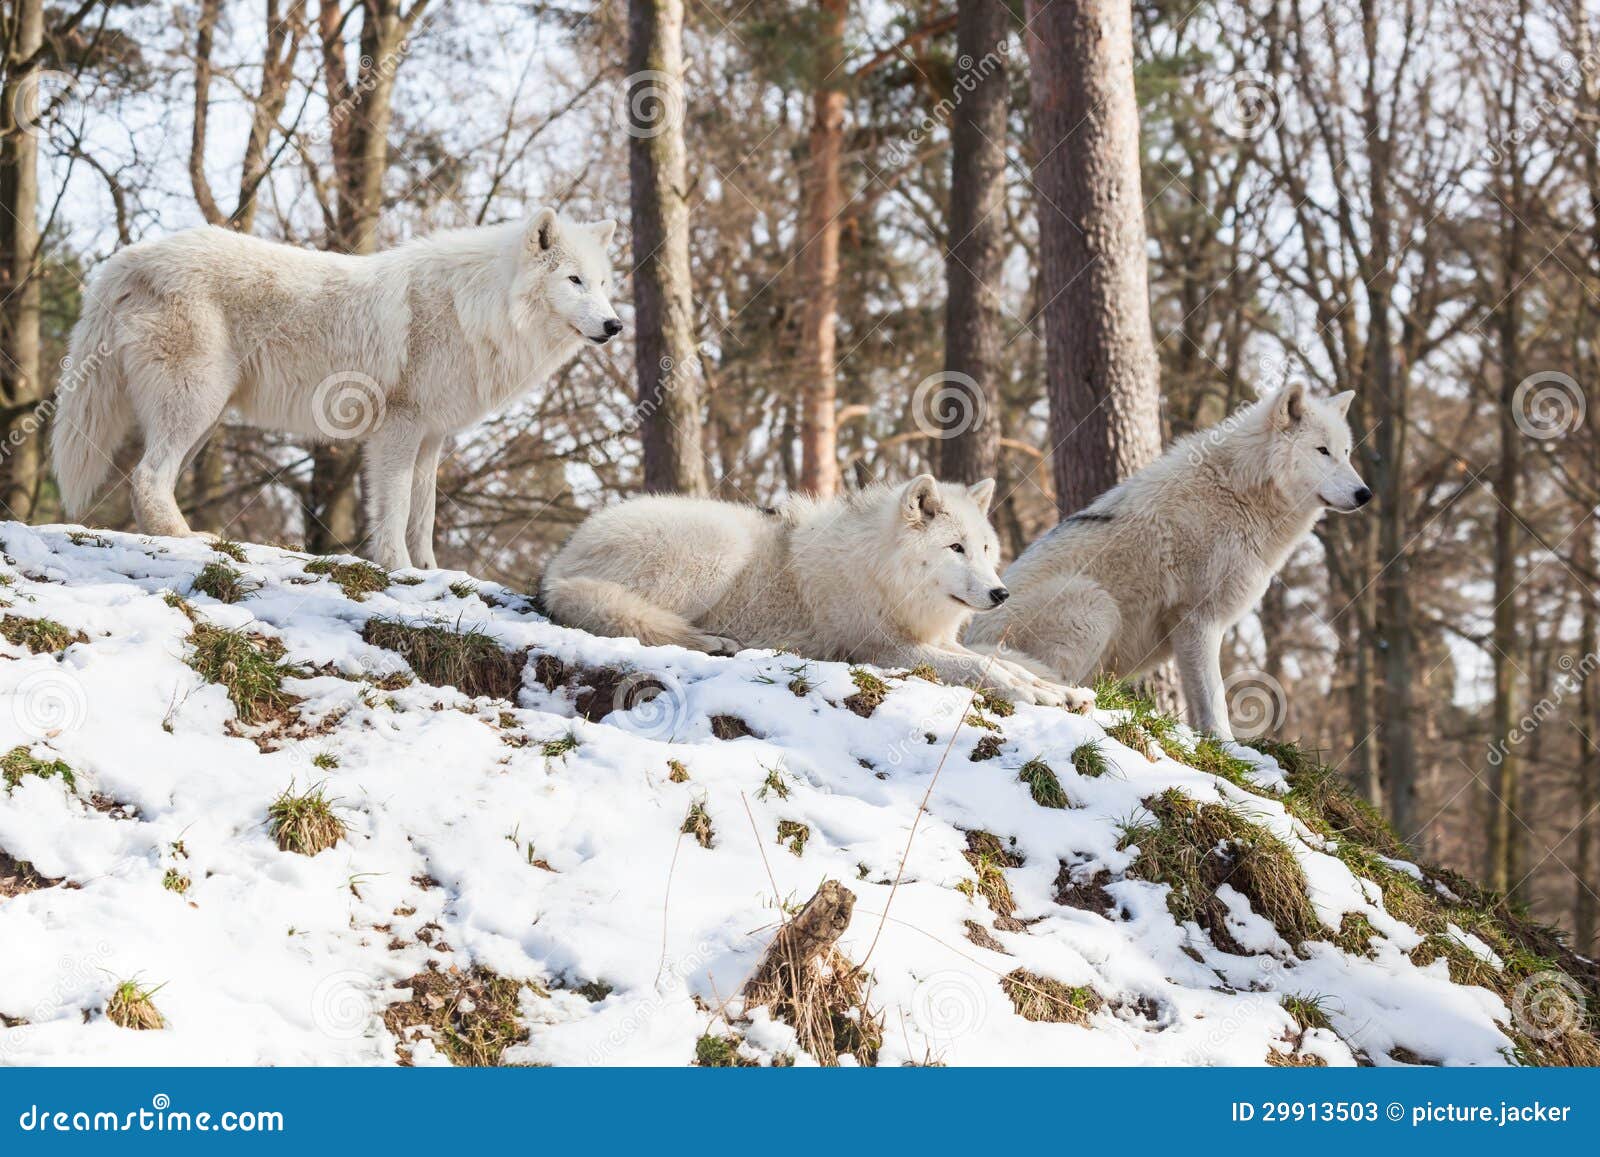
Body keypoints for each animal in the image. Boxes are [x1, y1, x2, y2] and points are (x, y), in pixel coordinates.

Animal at [51, 209, 622, 571]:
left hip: (203, 419)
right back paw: (184, 539)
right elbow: (395, 509)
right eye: (574, 280)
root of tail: (130, 256)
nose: (615, 325)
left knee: (147, 480)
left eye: (601, 284)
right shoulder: (399, 427)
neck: (478, 306)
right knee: (148, 476)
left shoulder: (431, 437)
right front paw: (398, 567)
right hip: (195, 404)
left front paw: (432, 571)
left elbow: (424, 515)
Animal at [542, 475, 1094, 707]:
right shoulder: (885, 651)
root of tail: (558, 568)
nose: (1001, 594)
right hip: (721, 548)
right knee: (637, 621)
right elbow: (983, 669)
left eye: (984, 548)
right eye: (955, 548)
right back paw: (715, 643)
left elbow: (1004, 663)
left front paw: (1061, 691)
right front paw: (1033, 693)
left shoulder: (932, 641)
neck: (881, 574)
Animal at [965, 385, 1370, 737]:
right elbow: (1214, 700)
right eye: (1322, 450)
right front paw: (1228, 746)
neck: (1239, 492)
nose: (1365, 494)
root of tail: (965, 637)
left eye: (1347, 452)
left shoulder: (1190, 629)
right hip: (1097, 605)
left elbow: (1199, 703)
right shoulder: (1198, 619)